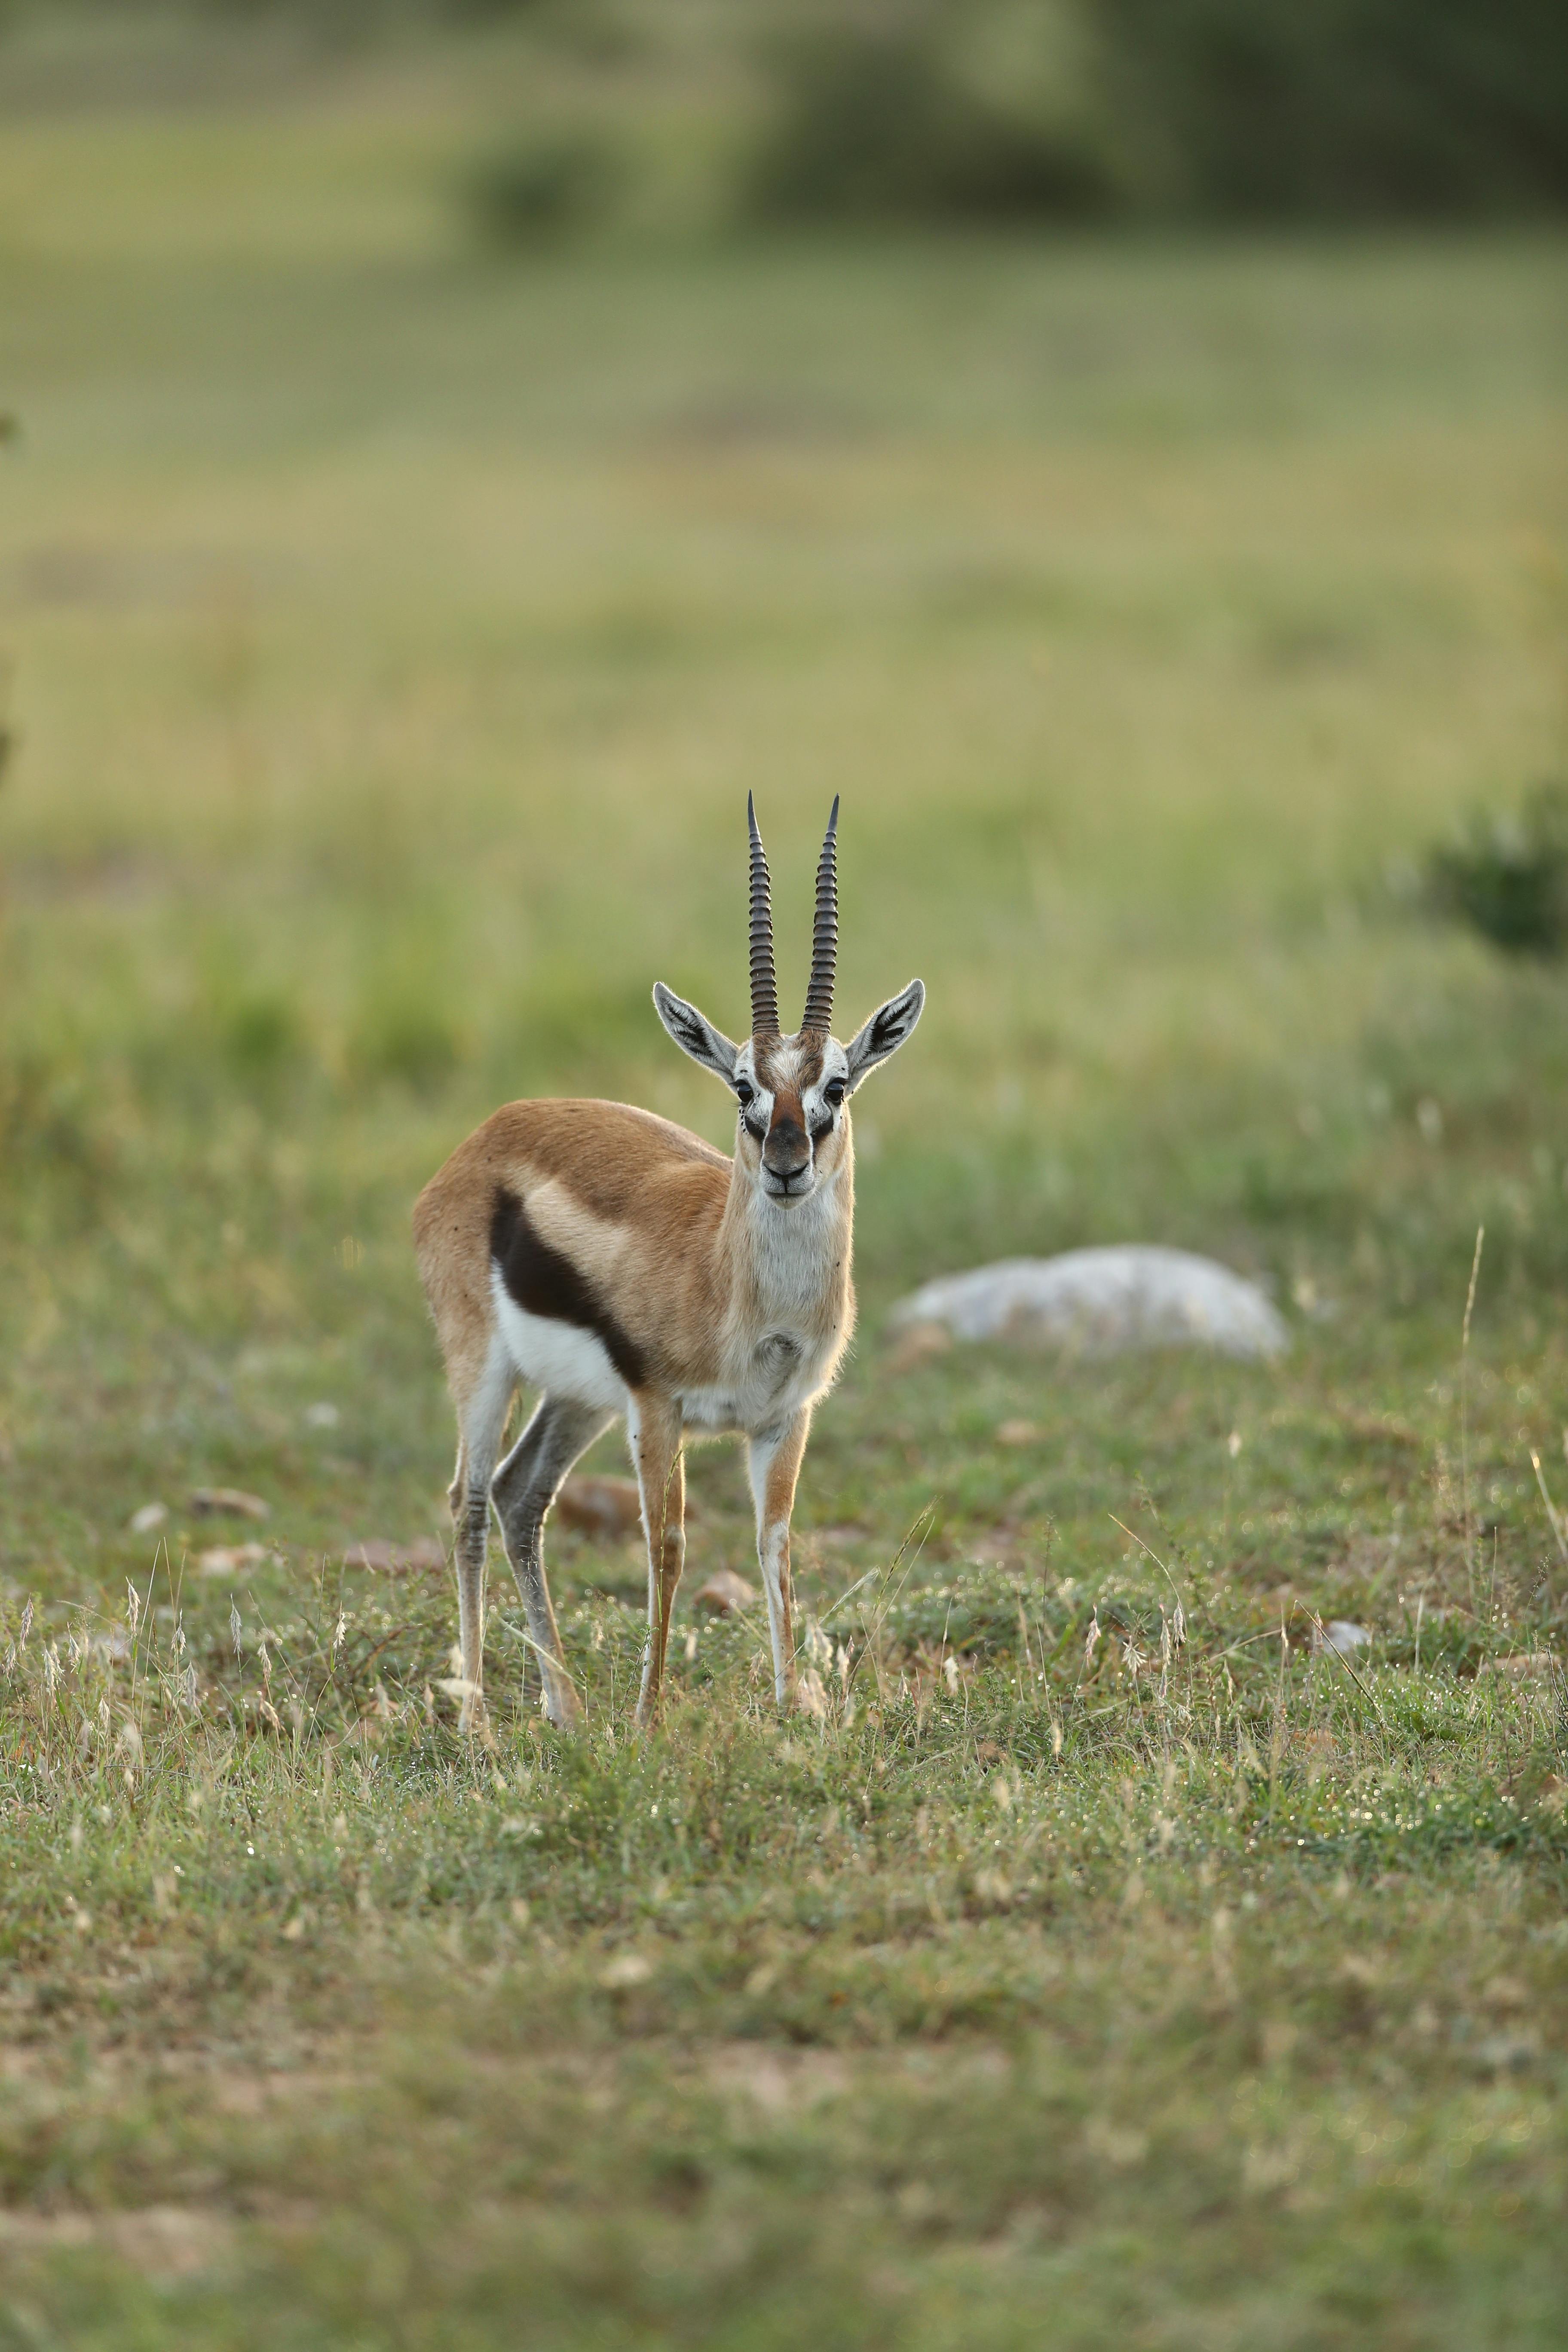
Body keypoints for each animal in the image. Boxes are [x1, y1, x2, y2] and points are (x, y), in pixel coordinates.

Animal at [413, 797, 924, 1729]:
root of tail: (485, 1135)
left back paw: (563, 1706)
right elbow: (669, 1547)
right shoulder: (660, 1409)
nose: (786, 1165)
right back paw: (477, 1720)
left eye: (836, 1085)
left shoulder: (784, 1418)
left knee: (517, 1495)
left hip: (577, 1400)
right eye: (742, 1087)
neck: (737, 1292)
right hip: (487, 1368)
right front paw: (649, 1720)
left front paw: (792, 1705)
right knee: (466, 1501)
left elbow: (775, 1545)